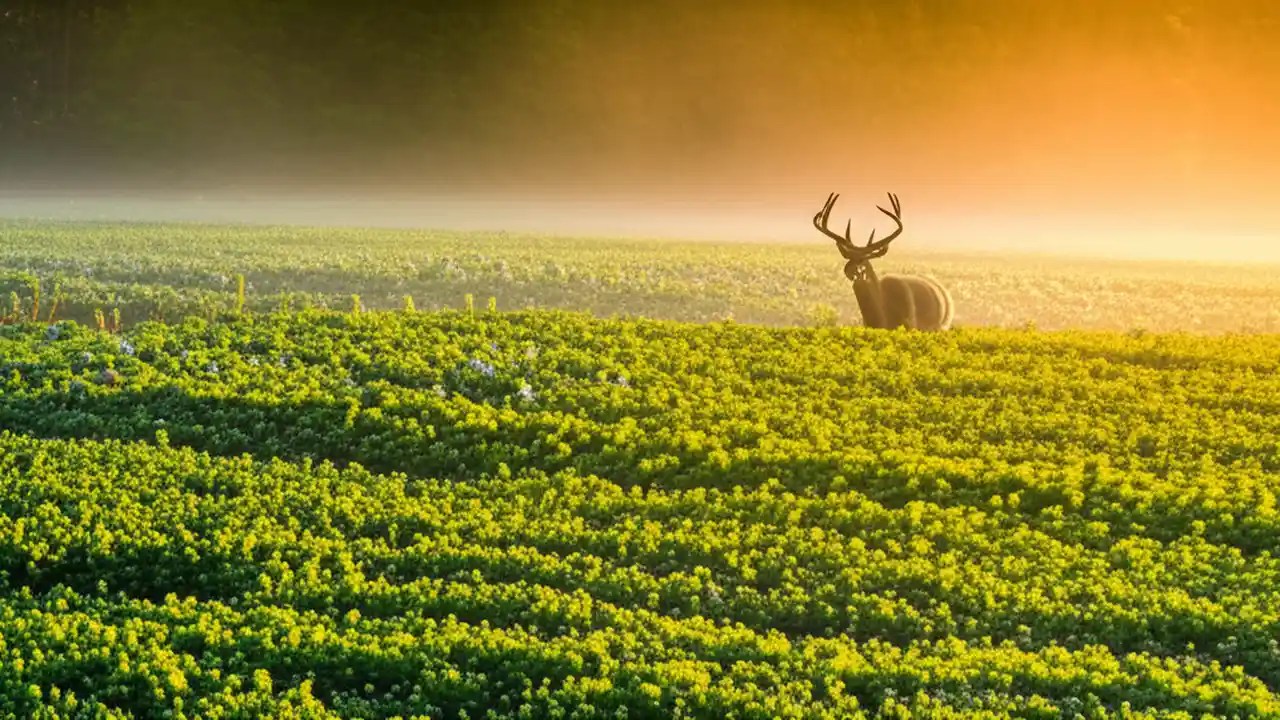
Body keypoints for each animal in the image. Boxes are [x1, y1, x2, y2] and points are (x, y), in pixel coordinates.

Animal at [813, 192, 954, 331]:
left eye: (864, 262)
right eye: (848, 261)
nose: (853, 273)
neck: (882, 316)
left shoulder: (908, 325)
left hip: (938, 327)